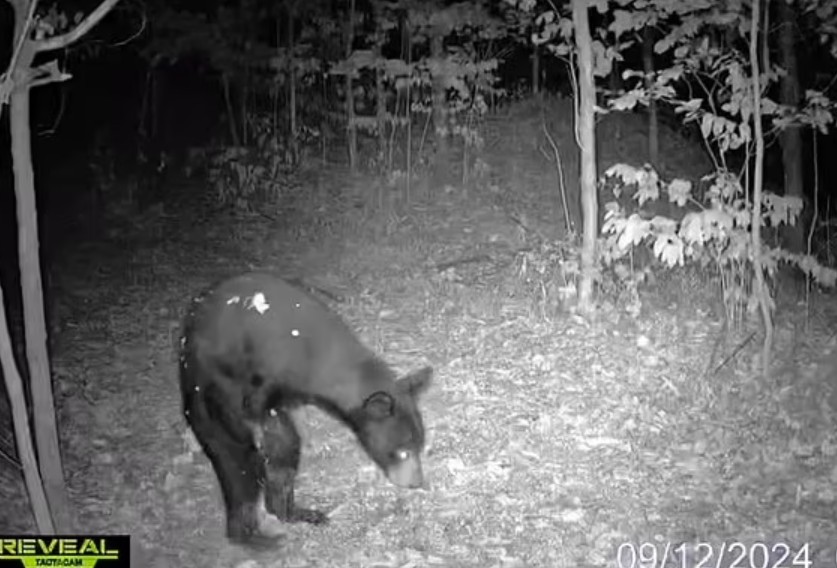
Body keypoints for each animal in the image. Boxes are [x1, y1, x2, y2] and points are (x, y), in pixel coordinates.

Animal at [178, 272, 433, 547]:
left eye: (419, 446)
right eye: (400, 451)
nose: (417, 482)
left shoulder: (292, 391)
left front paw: (312, 441)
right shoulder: (264, 371)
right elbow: (260, 419)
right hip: (210, 399)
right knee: (241, 462)